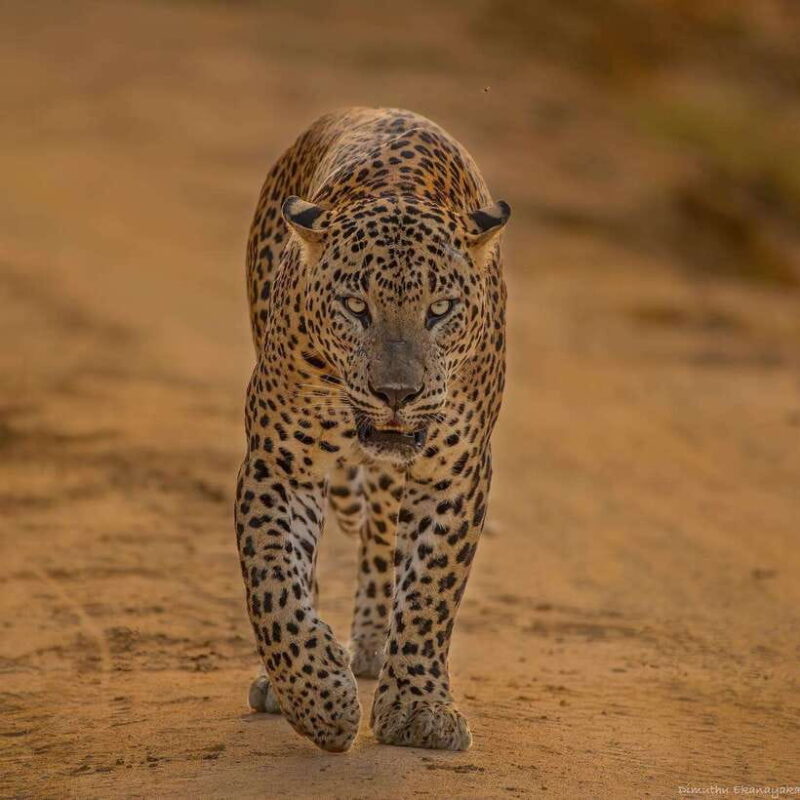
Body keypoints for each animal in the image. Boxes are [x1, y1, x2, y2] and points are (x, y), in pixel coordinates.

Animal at [236, 106, 510, 753]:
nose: (396, 395)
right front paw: (319, 700)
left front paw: (418, 708)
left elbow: (431, 588)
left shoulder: (456, 473)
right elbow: (273, 582)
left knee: (383, 542)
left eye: (440, 309)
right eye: (356, 307)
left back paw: (370, 646)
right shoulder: (278, 462)